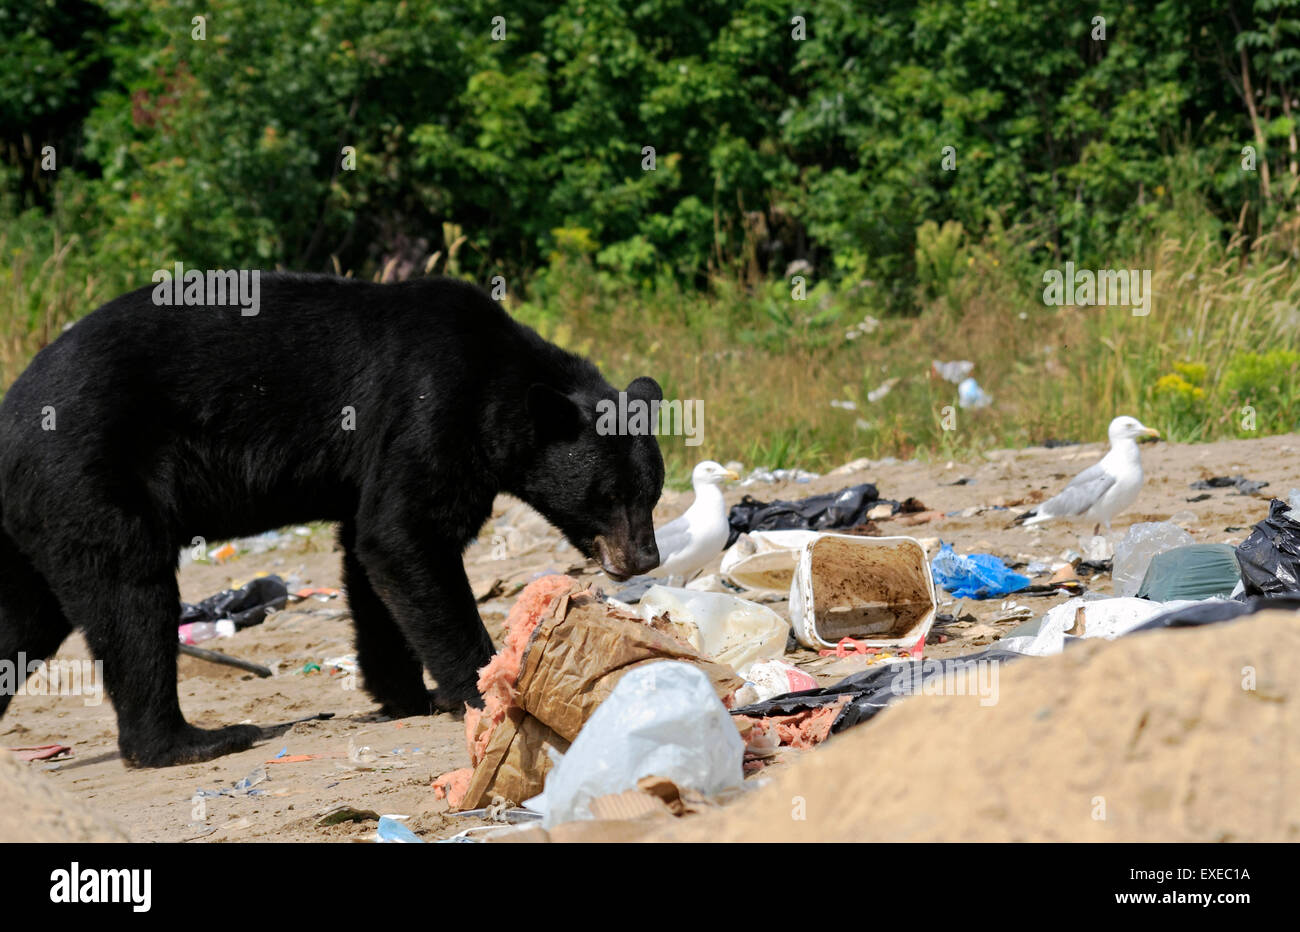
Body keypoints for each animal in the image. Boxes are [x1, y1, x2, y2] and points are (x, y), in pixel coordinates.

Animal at [0, 272, 664, 767]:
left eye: (652, 492)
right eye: (609, 494)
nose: (646, 558)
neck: (495, 379)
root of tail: (11, 416)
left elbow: (372, 557)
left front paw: (407, 695)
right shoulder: (431, 408)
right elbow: (406, 532)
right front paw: (483, 689)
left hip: (39, 519)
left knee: (25, 620)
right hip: (90, 472)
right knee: (130, 594)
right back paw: (195, 740)